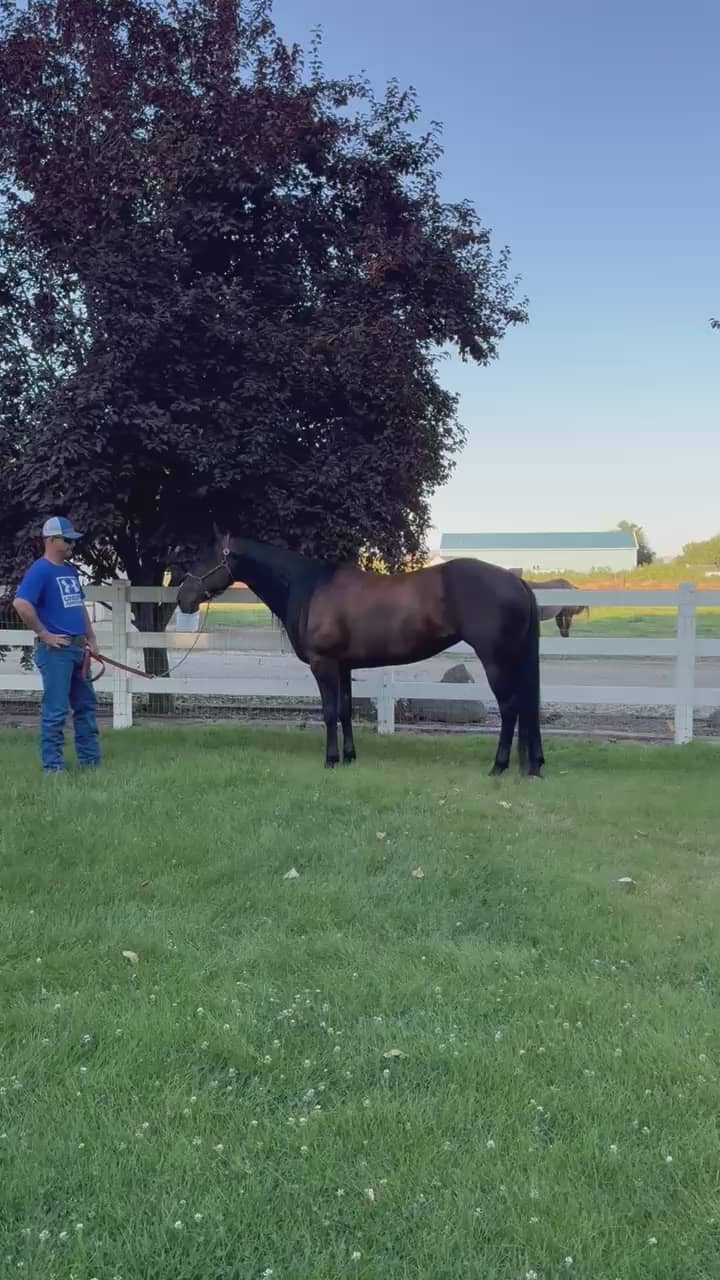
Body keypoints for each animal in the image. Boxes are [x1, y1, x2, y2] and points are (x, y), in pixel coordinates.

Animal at [176, 532, 545, 777]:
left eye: (205, 559)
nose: (183, 598)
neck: (309, 588)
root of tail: (517, 583)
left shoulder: (324, 664)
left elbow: (328, 713)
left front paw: (330, 760)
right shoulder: (343, 666)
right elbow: (344, 711)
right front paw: (349, 757)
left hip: (495, 659)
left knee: (511, 707)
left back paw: (499, 766)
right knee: (527, 706)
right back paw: (532, 764)